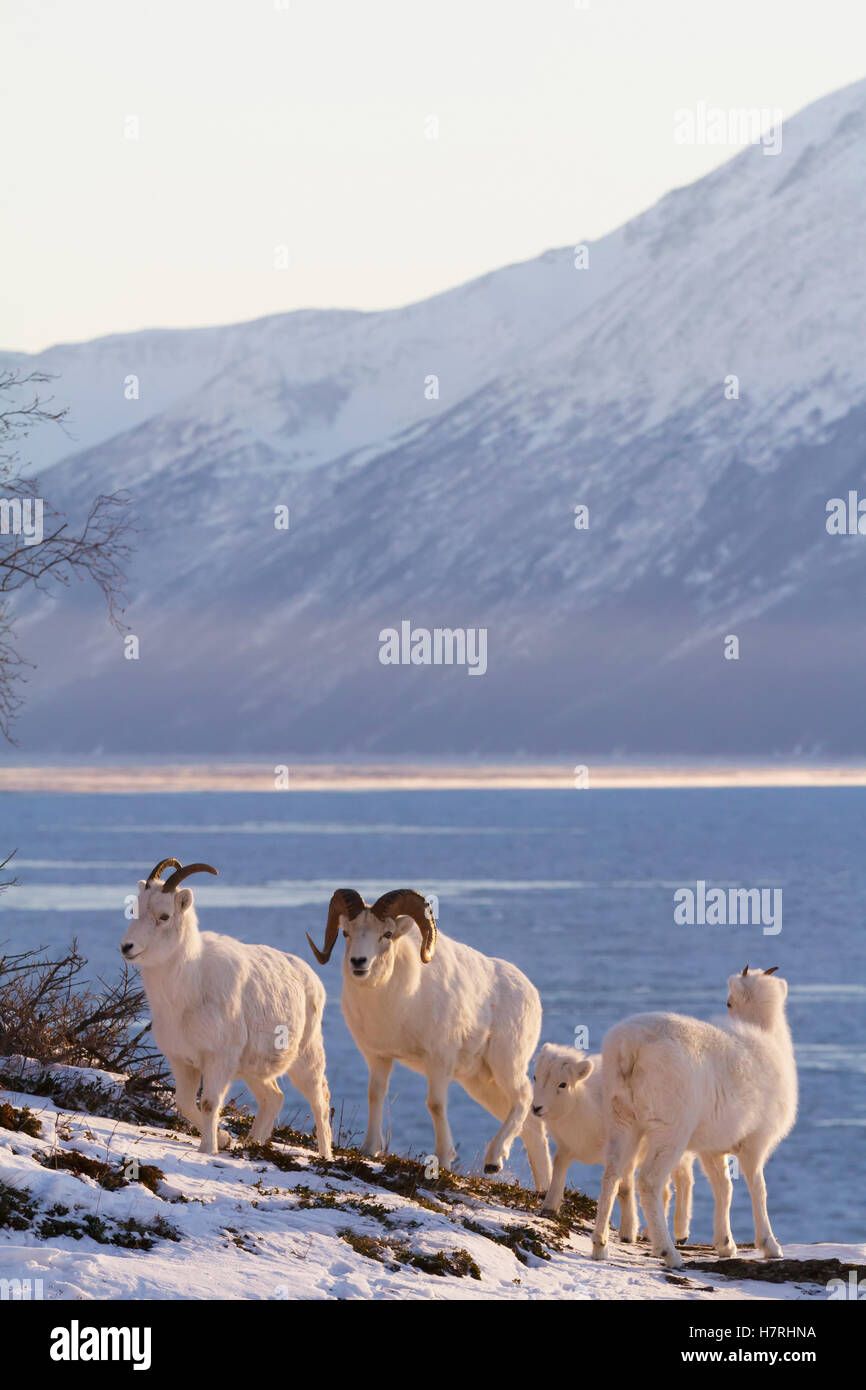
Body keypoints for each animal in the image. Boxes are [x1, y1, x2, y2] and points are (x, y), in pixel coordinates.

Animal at [121, 857, 332, 1158]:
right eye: (134, 910)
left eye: (164, 916)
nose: (127, 947)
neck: (189, 989)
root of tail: (312, 977)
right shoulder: (182, 1061)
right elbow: (185, 1103)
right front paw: (223, 1140)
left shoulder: (218, 1060)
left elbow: (209, 1103)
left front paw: (208, 1149)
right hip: (256, 1071)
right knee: (273, 1098)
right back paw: (252, 1143)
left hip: (306, 1059)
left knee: (320, 1100)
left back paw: (325, 1156)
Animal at [307, 888, 552, 1190]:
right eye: (346, 933)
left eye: (387, 934)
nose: (358, 963)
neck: (400, 1002)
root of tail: (531, 993)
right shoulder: (378, 1057)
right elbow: (375, 1094)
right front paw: (369, 1149)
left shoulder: (438, 1061)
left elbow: (435, 1105)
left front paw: (443, 1160)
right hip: (482, 1084)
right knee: (532, 1127)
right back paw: (543, 1192)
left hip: (506, 1065)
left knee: (523, 1098)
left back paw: (494, 1161)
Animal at [531, 1042, 695, 1242]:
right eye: (535, 1077)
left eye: (563, 1084)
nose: (536, 1108)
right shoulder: (567, 1148)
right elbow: (558, 1173)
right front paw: (548, 1209)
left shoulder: (627, 1154)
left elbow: (624, 1189)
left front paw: (627, 1234)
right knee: (664, 1191)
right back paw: (649, 1235)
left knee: (684, 1180)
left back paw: (680, 1234)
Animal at [591, 966, 797, 1269]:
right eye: (728, 1003)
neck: (764, 1033)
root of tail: (630, 1048)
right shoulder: (755, 1142)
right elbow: (758, 1188)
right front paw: (770, 1245)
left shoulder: (712, 1149)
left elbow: (724, 1188)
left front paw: (726, 1245)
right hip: (669, 1130)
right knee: (649, 1182)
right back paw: (669, 1253)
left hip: (622, 1120)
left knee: (611, 1174)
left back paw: (600, 1246)